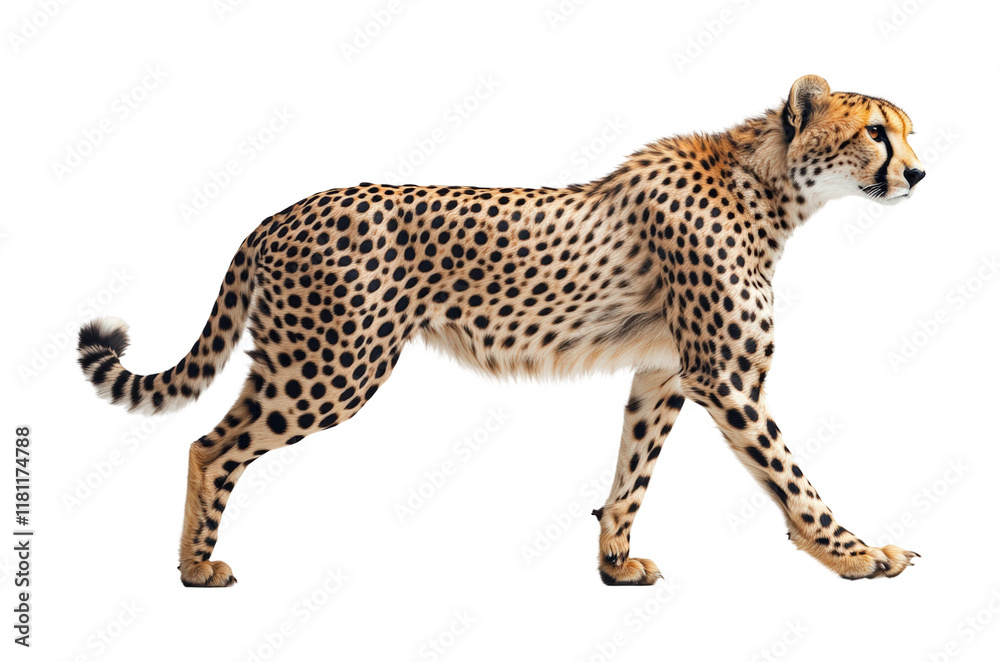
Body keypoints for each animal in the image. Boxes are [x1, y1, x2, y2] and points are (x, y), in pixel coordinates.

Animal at [78, 75, 925, 587]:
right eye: (876, 133)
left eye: (908, 132)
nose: (918, 173)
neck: (771, 188)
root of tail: (281, 212)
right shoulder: (728, 379)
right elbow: (793, 478)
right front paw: (855, 553)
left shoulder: (661, 373)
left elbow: (633, 472)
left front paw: (614, 564)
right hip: (332, 368)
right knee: (210, 445)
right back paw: (196, 570)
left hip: (300, 359)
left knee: (216, 438)